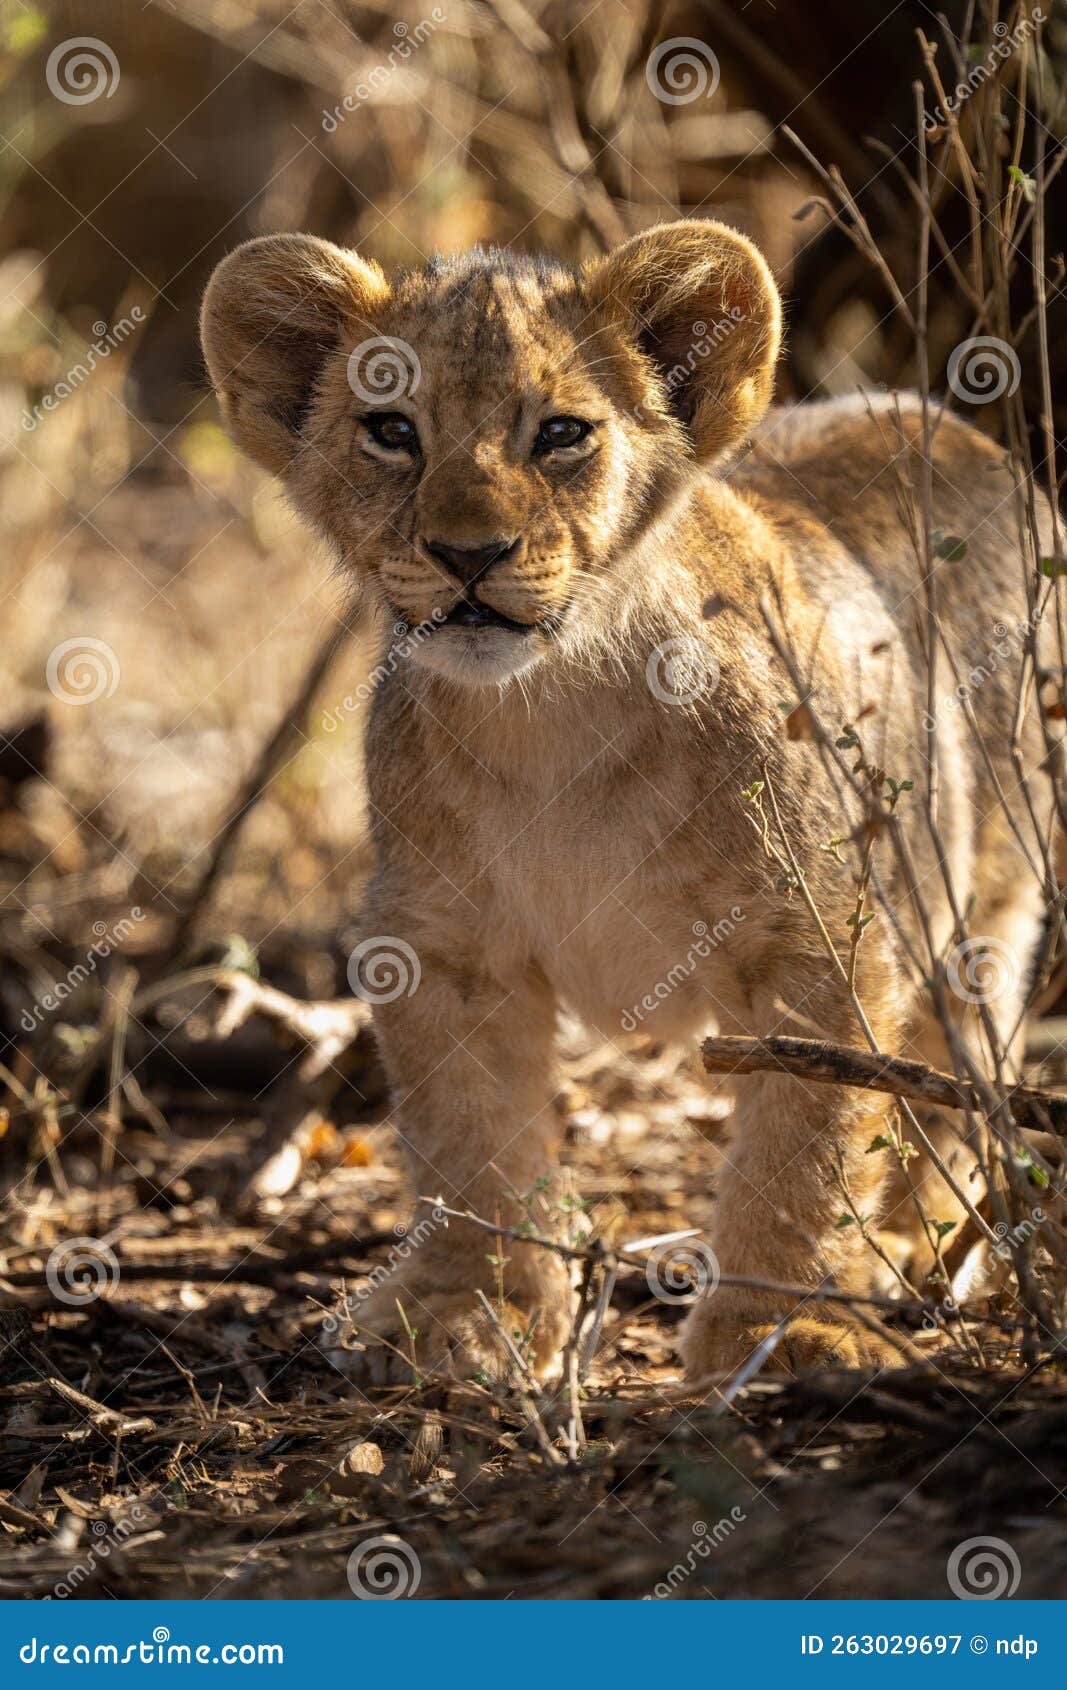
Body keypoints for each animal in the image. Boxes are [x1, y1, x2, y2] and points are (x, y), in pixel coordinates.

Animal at [201, 219, 1056, 1383]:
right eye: (390, 430)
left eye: (561, 434)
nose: (467, 553)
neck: (549, 714)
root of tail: (954, 428)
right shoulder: (440, 945)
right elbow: (470, 1142)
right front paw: (470, 1312)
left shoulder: (824, 938)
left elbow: (805, 1148)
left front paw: (772, 1332)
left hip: (992, 895)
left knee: (955, 1072)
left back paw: (911, 1245)